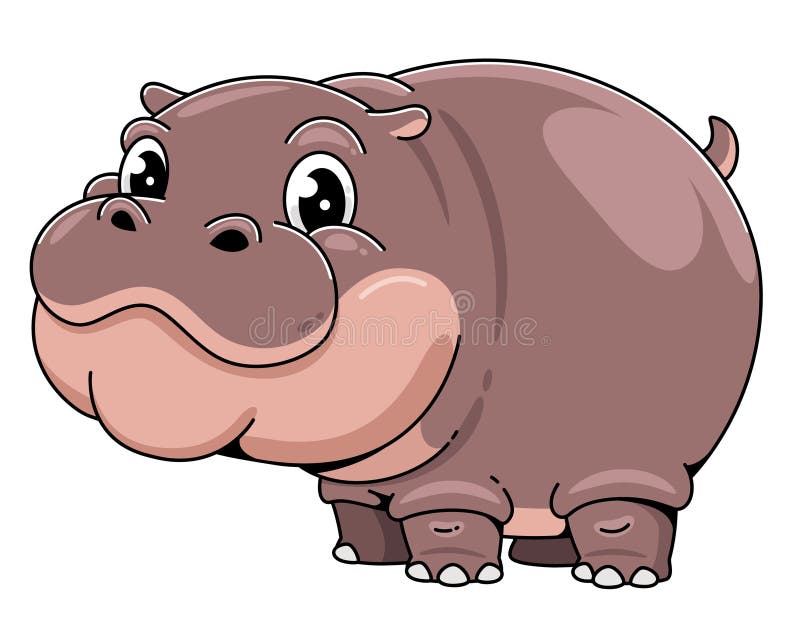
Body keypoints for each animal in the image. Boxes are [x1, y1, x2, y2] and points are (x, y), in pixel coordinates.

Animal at [30, 60, 760, 589]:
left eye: (321, 193)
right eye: (143, 169)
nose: (143, 220)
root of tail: (704, 155)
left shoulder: (461, 466)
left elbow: (447, 517)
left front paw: (449, 576)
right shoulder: (354, 477)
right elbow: (358, 512)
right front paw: (360, 560)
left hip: (633, 453)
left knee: (621, 511)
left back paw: (614, 577)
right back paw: (551, 563)